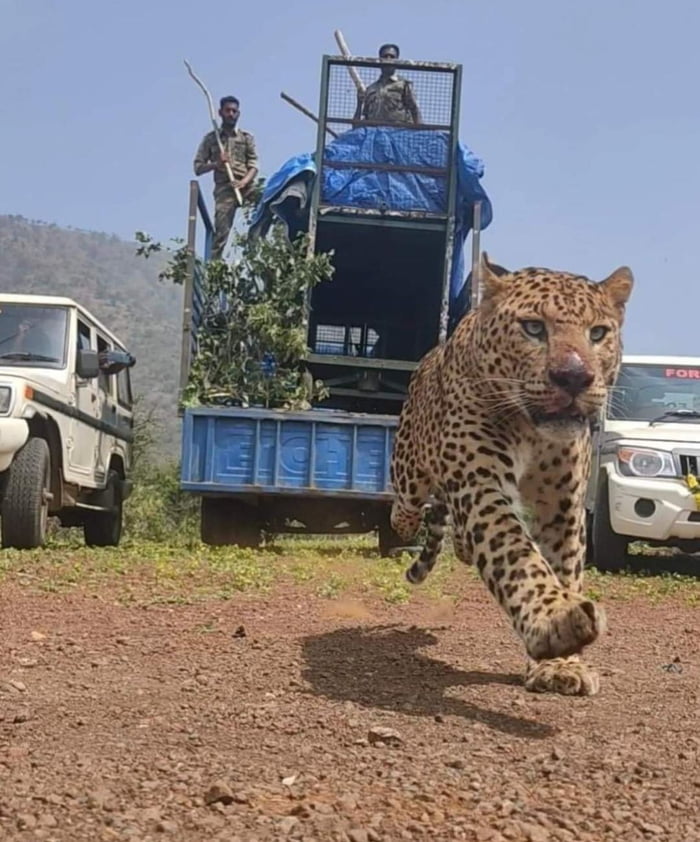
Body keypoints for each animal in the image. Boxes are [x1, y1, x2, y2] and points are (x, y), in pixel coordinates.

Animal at [390, 253, 633, 696]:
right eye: (533, 327)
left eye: (598, 333)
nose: (574, 378)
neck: (532, 431)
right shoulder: (481, 482)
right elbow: (515, 553)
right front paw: (555, 620)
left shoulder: (563, 507)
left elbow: (565, 569)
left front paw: (561, 665)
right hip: (409, 468)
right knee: (407, 503)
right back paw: (406, 523)